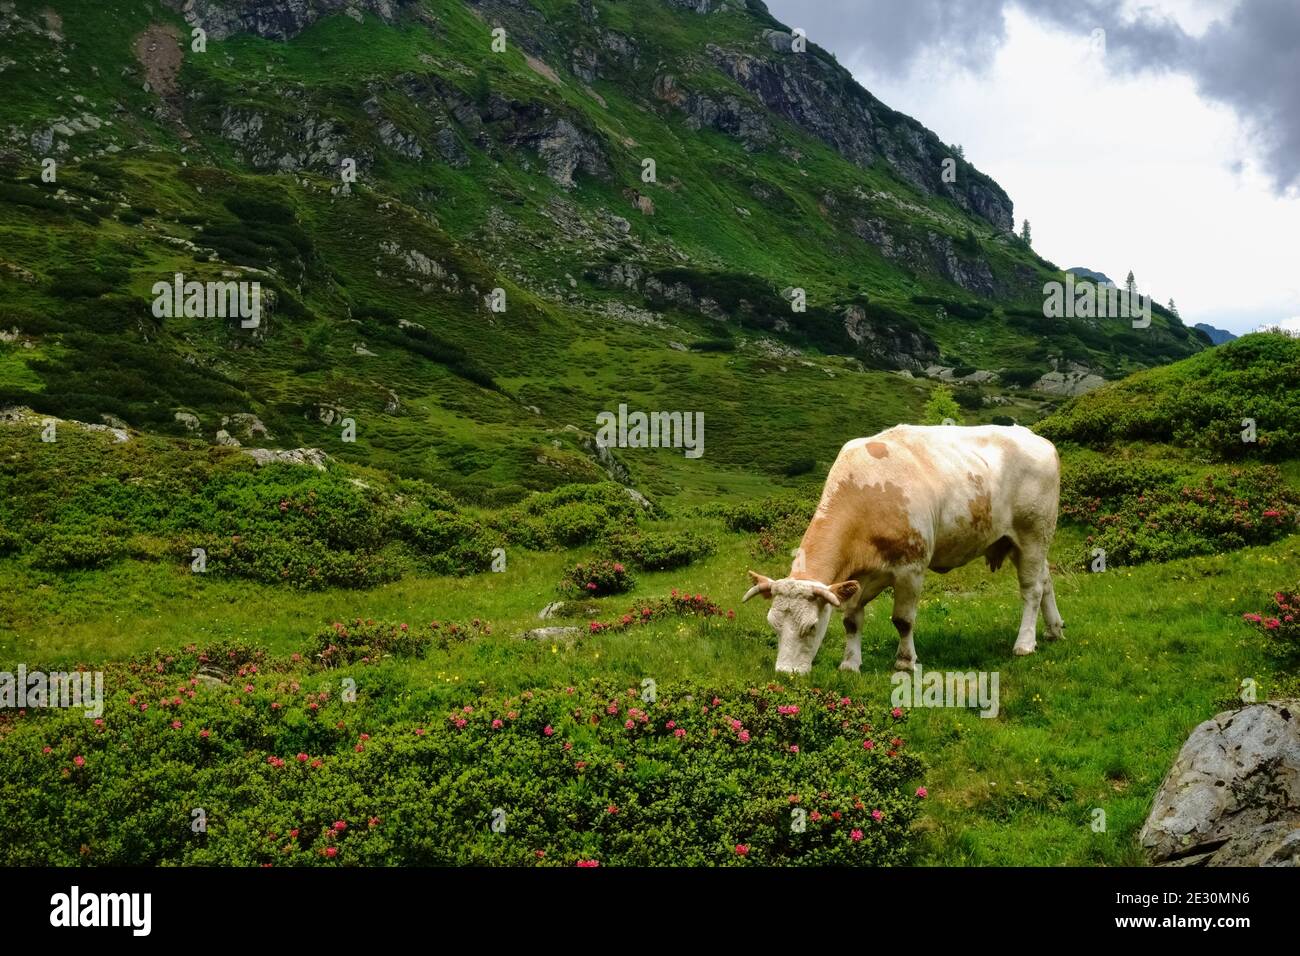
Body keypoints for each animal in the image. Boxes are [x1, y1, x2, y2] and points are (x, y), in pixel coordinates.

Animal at [743, 424, 1063, 675]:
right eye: (773, 625)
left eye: (810, 626)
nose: (786, 673)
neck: (866, 494)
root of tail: (1037, 438)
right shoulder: (858, 578)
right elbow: (851, 620)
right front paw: (850, 664)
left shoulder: (911, 568)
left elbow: (903, 620)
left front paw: (905, 661)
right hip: (1022, 542)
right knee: (1046, 579)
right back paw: (1053, 630)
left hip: (1034, 534)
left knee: (1032, 589)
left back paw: (1024, 643)